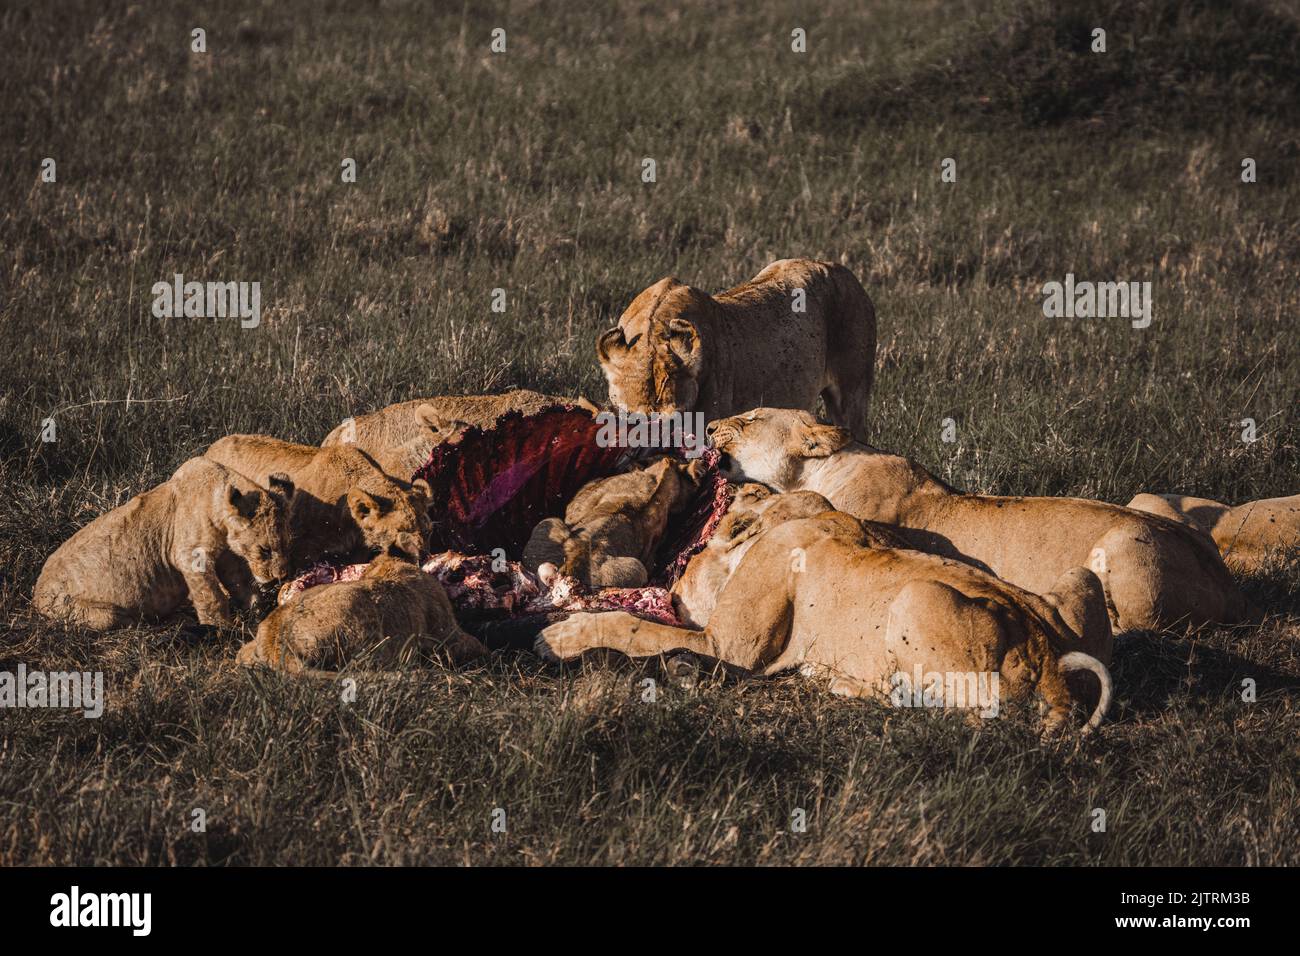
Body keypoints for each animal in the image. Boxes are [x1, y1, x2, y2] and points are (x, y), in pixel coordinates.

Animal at [33, 457, 294, 630]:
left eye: (286, 544)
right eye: (265, 549)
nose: (280, 578)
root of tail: (35, 594)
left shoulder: (227, 558)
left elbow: (244, 587)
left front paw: (259, 615)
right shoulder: (190, 557)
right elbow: (212, 597)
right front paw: (221, 631)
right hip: (92, 613)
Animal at [205, 435, 432, 570]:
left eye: (428, 530)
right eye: (401, 530)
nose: (424, 556)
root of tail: (213, 446)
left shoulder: (356, 551)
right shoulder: (300, 549)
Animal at [537, 504, 1113, 735]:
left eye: (690, 564)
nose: (674, 593)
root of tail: (1046, 660)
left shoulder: (729, 647)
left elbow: (631, 625)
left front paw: (559, 634)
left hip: (917, 598)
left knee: (969, 713)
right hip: (1079, 578)